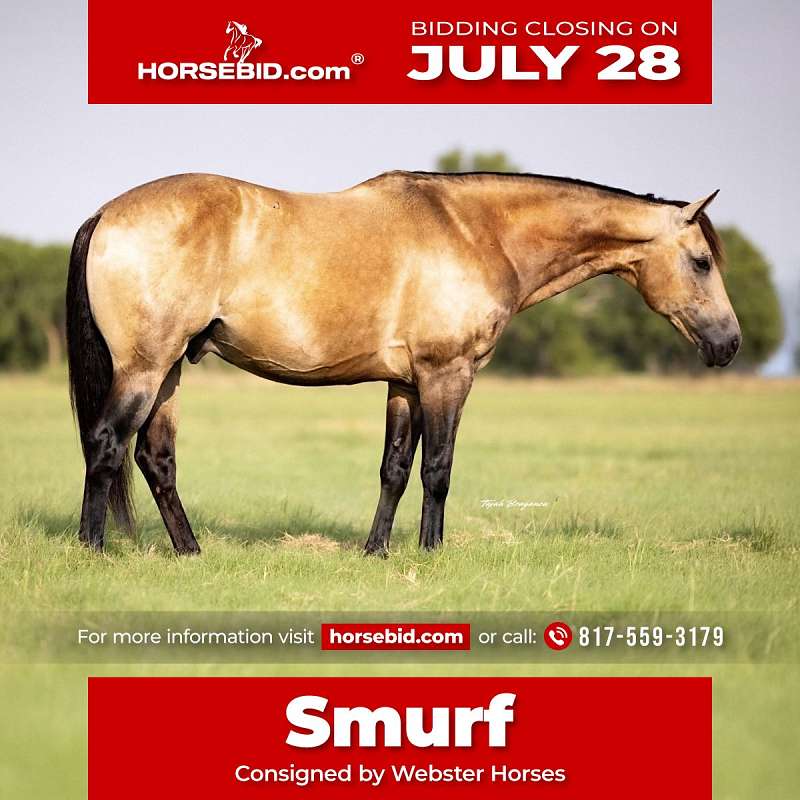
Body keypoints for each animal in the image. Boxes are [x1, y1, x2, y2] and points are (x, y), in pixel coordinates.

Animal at [65, 171, 740, 557]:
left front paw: (377, 552)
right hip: (146, 368)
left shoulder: (405, 384)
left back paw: (190, 552)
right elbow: (438, 468)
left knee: (155, 458)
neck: (476, 232)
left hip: (170, 371)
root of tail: (106, 212)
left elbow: (394, 468)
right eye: (702, 260)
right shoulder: (448, 374)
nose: (729, 344)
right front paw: (431, 554)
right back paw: (93, 548)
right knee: (106, 443)